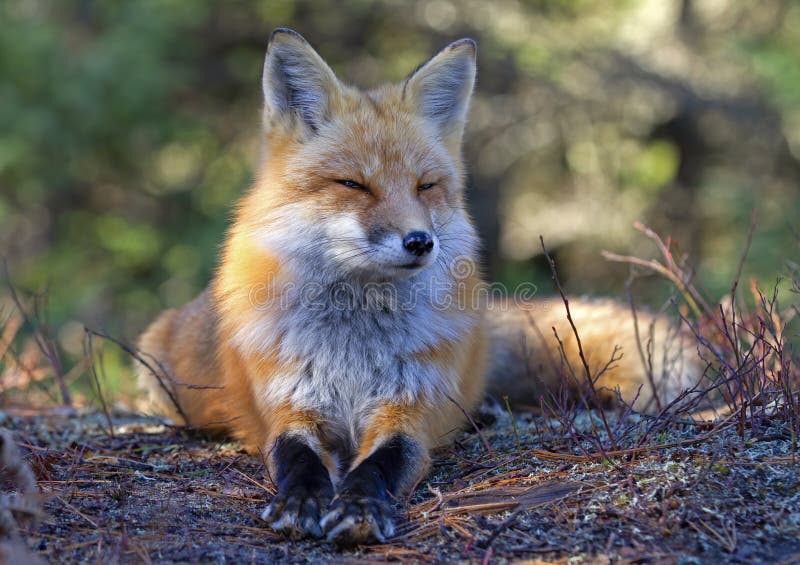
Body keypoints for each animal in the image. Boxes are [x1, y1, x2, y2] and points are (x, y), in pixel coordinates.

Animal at [136, 29, 696, 545]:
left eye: (425, 186)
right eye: (353, 185)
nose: (420, 241)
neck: (352, 351)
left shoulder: (411, 412)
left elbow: (384, 462)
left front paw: (359, 507)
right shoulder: (287, 409)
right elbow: (295, 459)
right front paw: (301, 502)